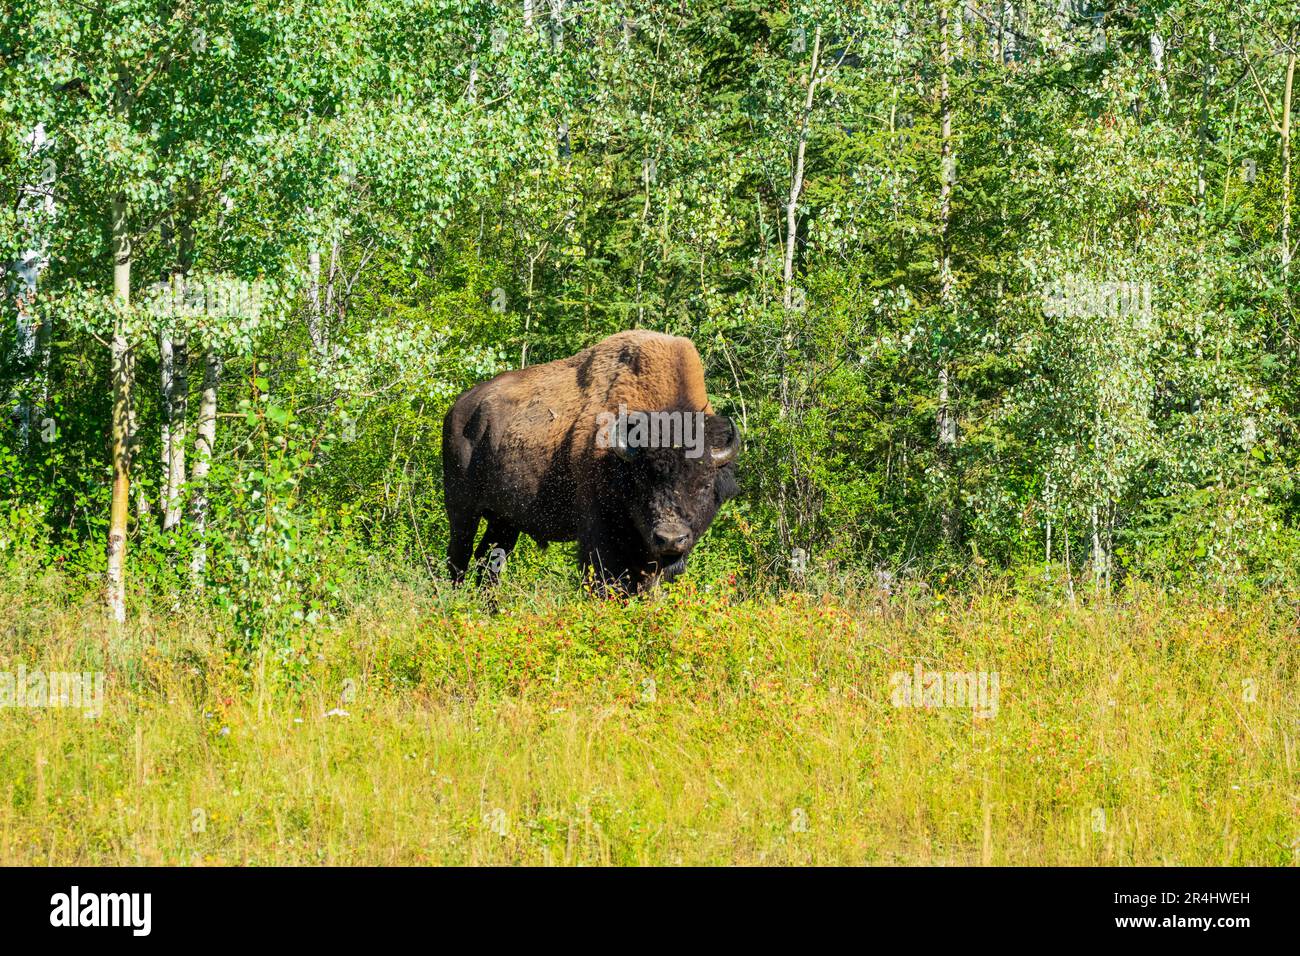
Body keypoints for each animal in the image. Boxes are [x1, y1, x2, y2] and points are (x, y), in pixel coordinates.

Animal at [442, 330, 740, 593]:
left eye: (704, 485)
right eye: (642, 482)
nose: (670, 538)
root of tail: (458, 407)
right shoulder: (599, 531)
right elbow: (605, 579)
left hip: (504, 519)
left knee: (489, 561)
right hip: (462, 508)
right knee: (460, 556)